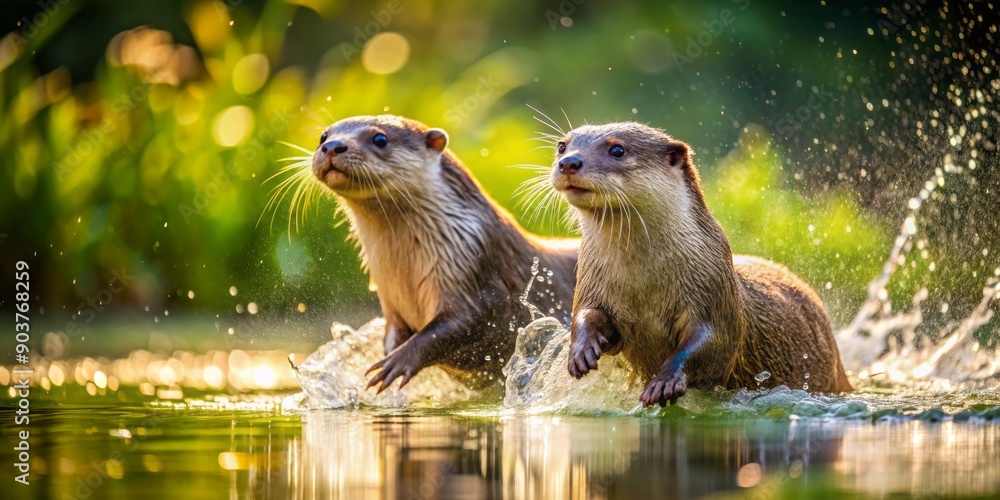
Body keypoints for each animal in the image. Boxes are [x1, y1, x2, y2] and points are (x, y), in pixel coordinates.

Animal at [310, 115, 578, 393]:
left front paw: (397, 362)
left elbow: (461, 324)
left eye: (379, 139)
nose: (332, 146)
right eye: (323, 136)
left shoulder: (474, 271)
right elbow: (394, 335)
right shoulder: (392, 304)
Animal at [548, 122, 852, 406]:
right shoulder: (592, 281)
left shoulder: (713, 287)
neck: (644, 287)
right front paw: (580, 350)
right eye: (562, 146)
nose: (569, 162)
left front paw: (665, 381)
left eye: (617, 150)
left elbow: (714, 342)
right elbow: (587, 313)